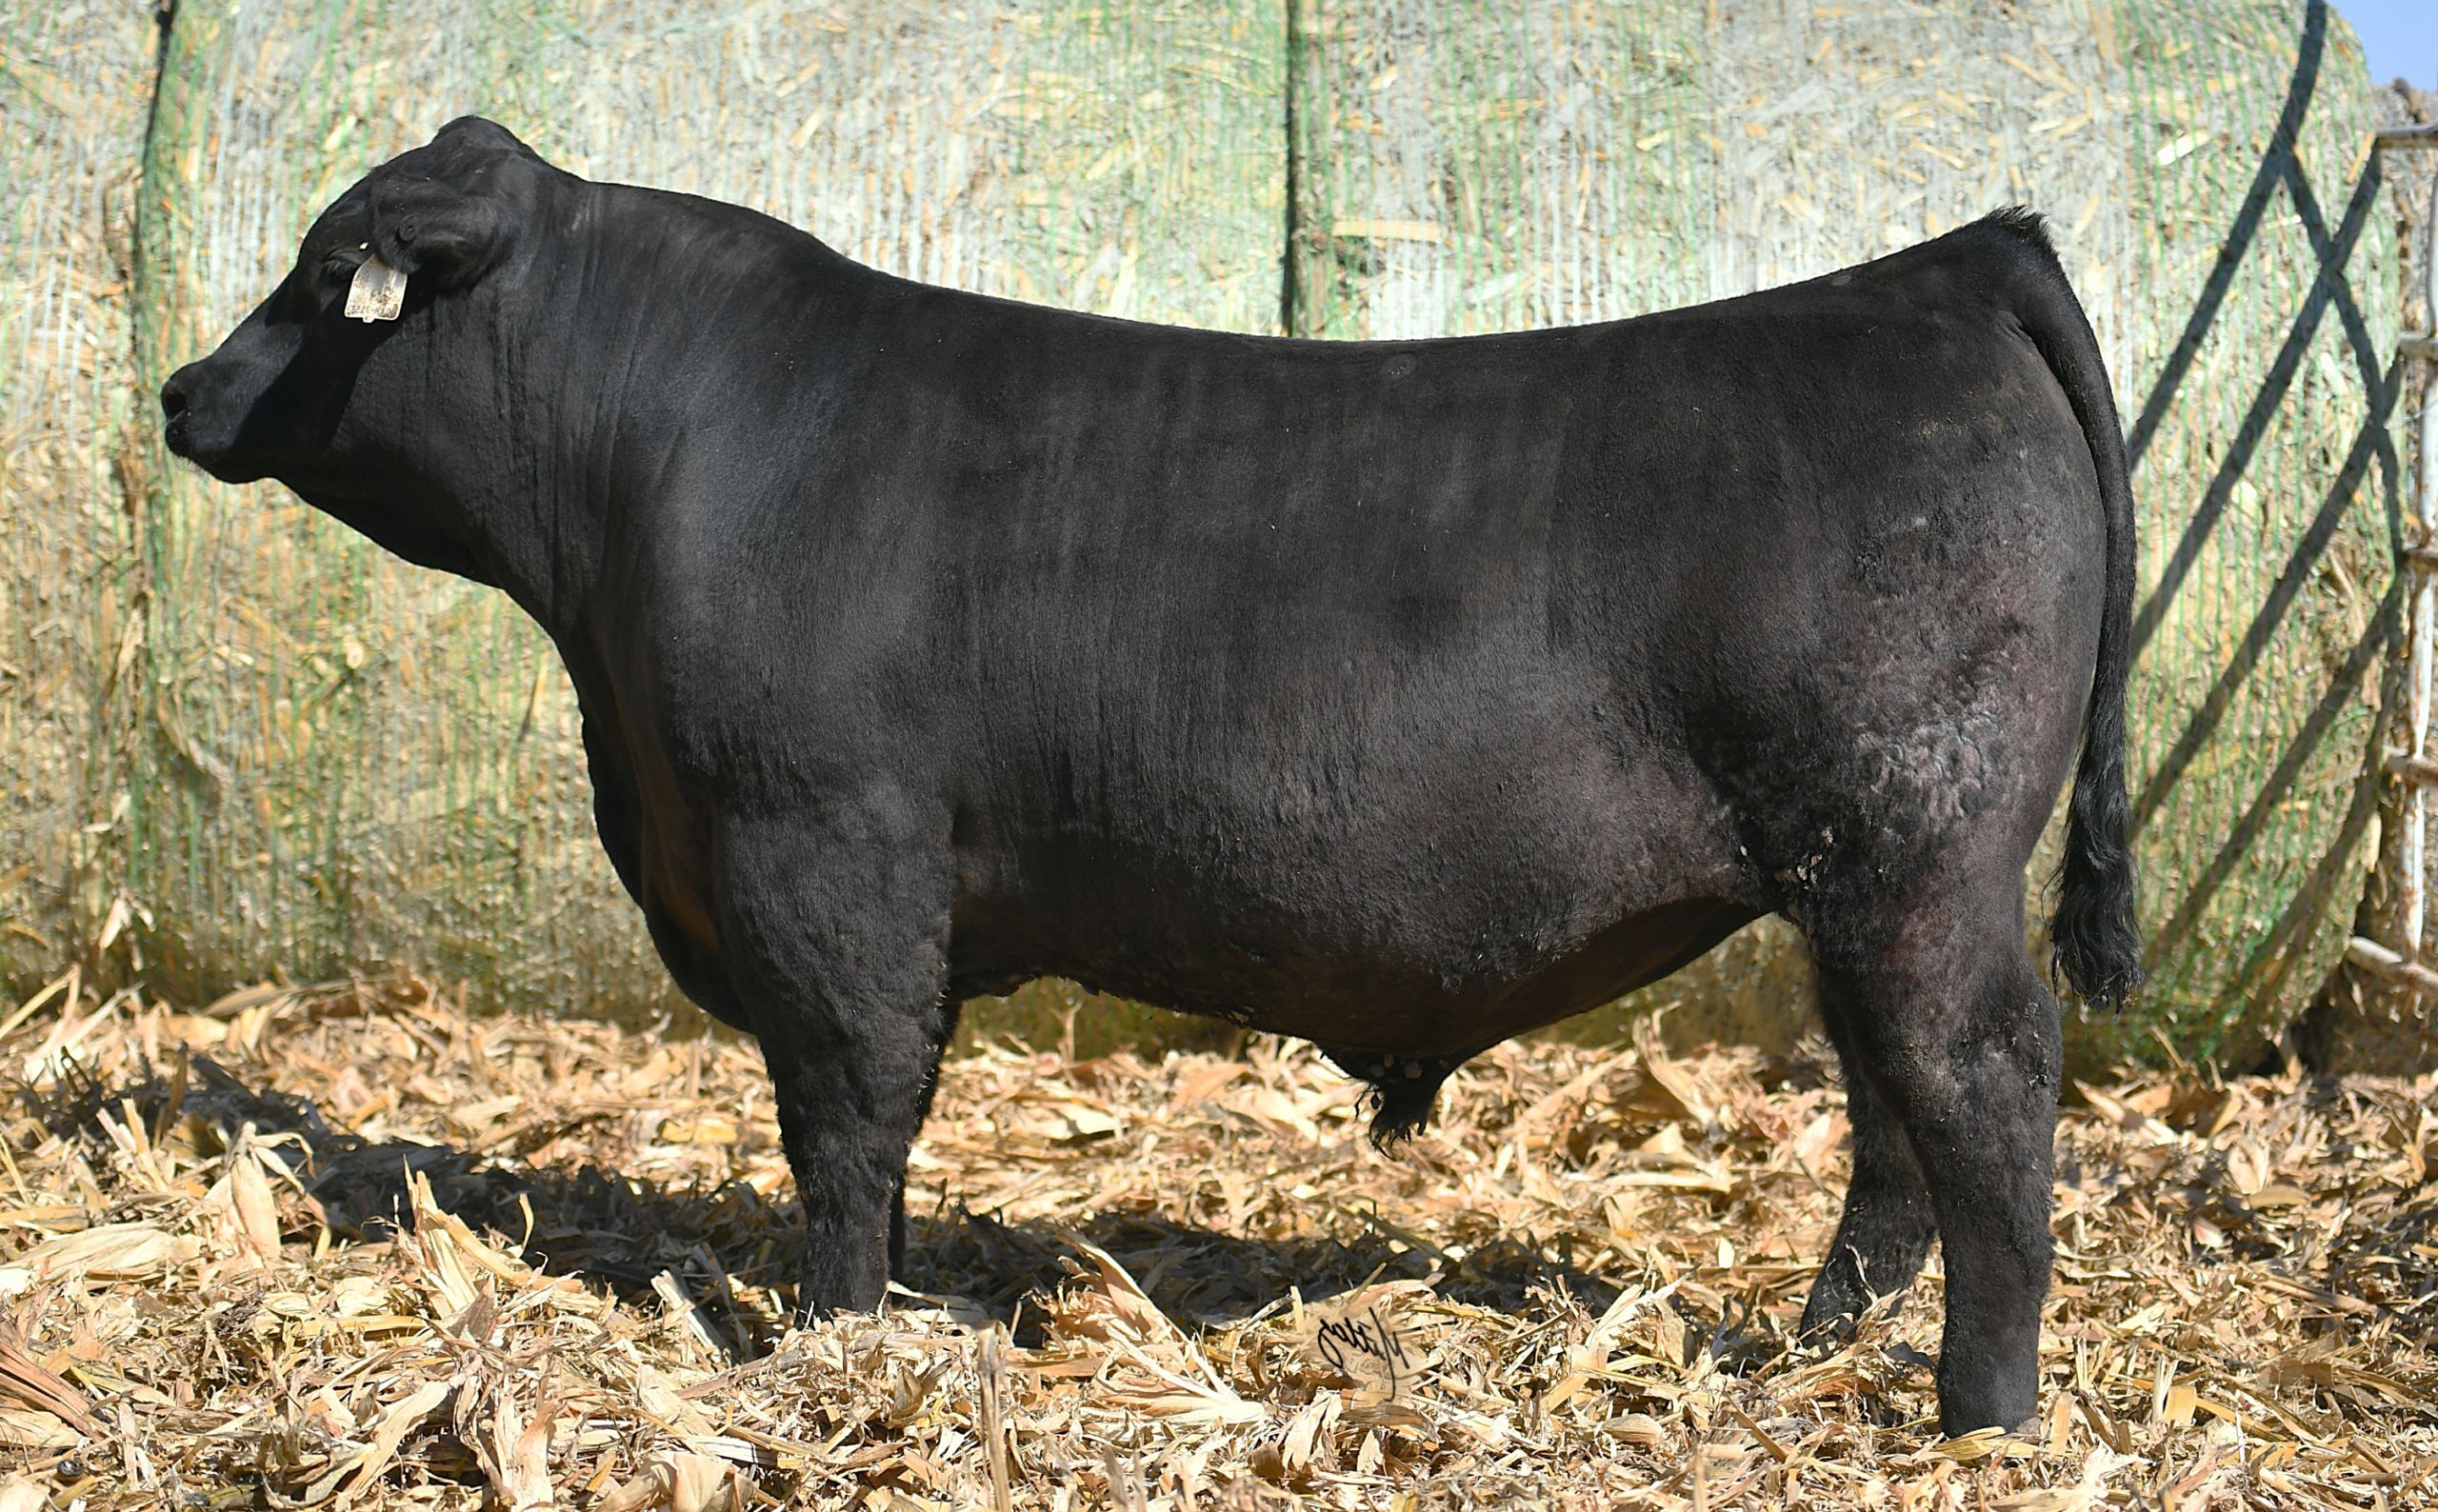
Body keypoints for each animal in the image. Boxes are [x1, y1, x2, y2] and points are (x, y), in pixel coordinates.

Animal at [162, 116, 2141, 1435]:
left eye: (323, 275)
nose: (181, 387)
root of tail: (1949, 269)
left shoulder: (822, 851)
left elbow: (848, 1116)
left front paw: (830, 1339)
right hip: (1858, 880)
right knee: (1893, 1120)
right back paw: (1809, 1351)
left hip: (1917, 849)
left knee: (1983, 1085)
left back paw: (1983, 1409)